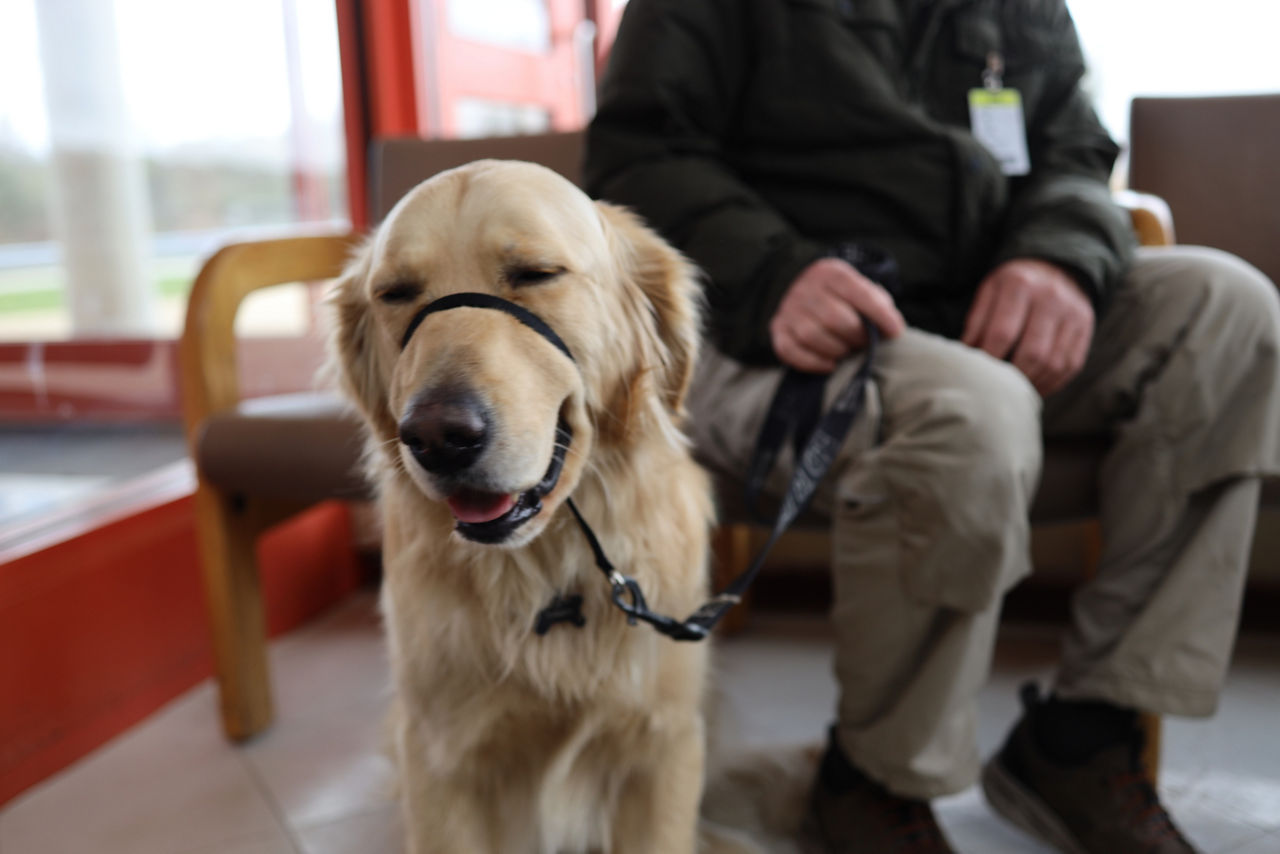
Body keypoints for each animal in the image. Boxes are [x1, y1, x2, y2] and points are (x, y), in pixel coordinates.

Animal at [327, 161, 721, 854]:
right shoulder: (441, 761)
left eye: (536, 273)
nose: (437, 437)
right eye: (396, 293)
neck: (546, 569)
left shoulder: (665, 746)